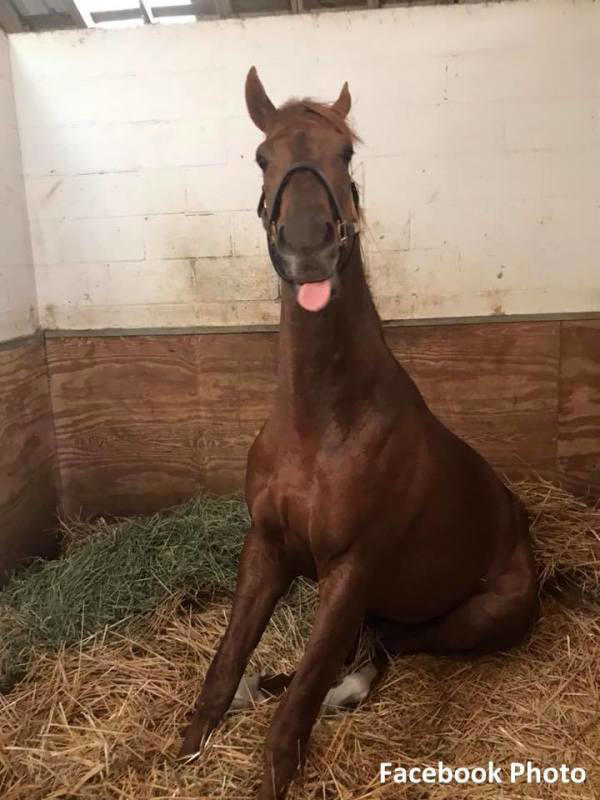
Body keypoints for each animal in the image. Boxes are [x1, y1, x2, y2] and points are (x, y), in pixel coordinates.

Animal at [179, 67, 539, 800]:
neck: (320, 425)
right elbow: (227, 658)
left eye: (345, 155)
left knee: (386, 647)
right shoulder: (268, 549)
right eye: (262, 156)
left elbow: (299, 706)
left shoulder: (351, 569)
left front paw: (274, 770)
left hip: (474, 615)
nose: (309, 247)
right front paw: (193, 740)